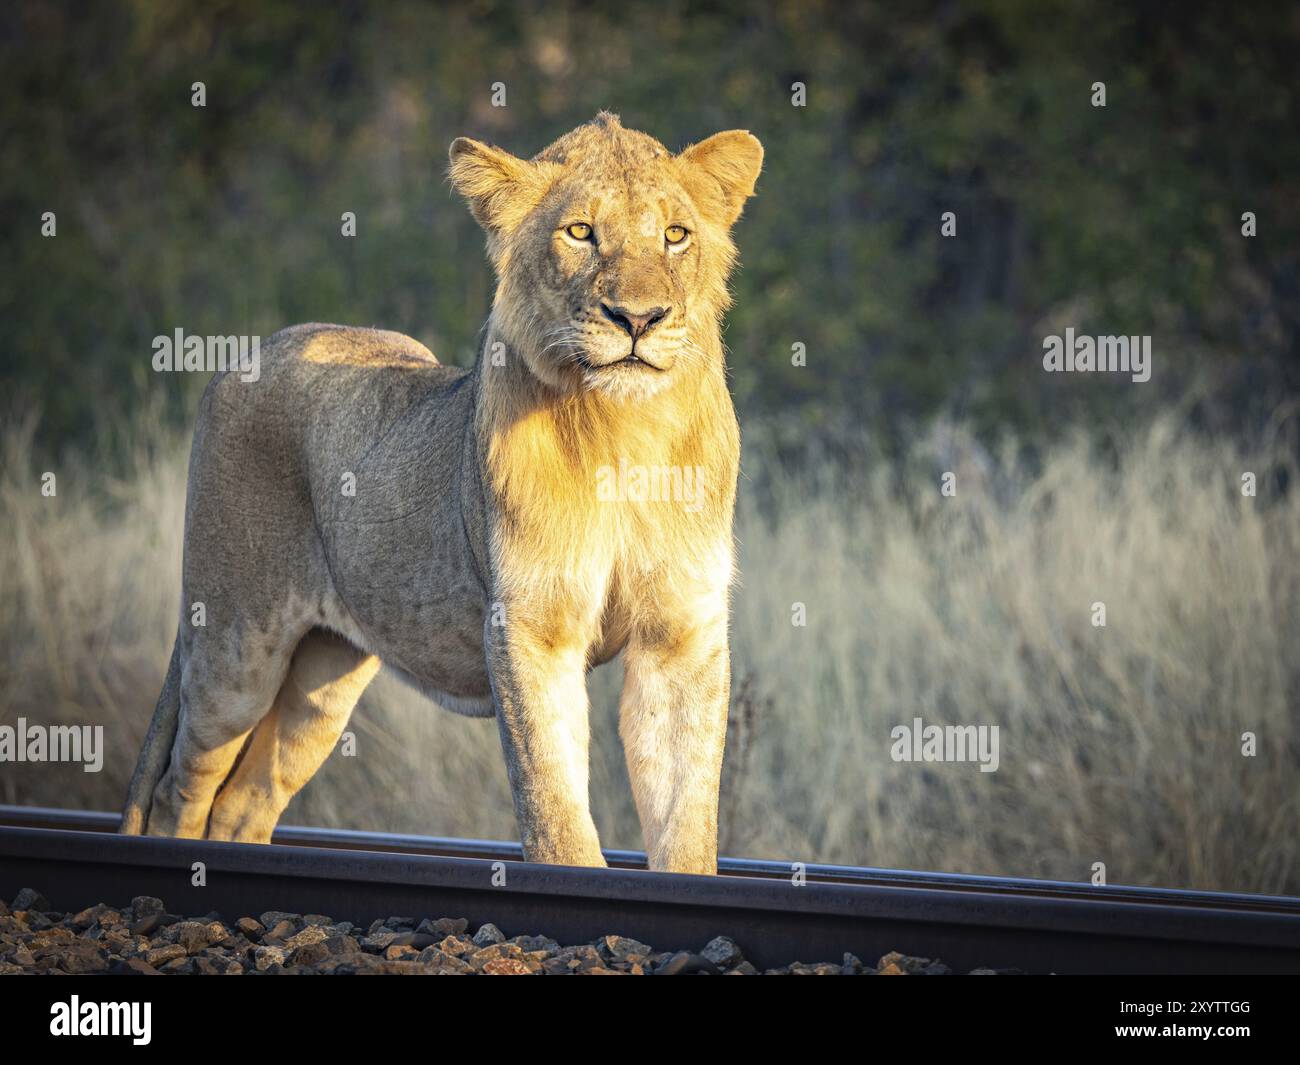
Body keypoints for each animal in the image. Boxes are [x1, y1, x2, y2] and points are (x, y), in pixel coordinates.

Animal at [120, 112, 762, 874]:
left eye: (675, 234)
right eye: (580, 232)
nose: (638, 318)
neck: (628, 431)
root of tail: (244, 354)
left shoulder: (681, 633)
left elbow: (686, 818)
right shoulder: (528, 626)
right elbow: (553, 805)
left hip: (323, 676)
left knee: (244, 801)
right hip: (234, 644)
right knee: (179, 789)